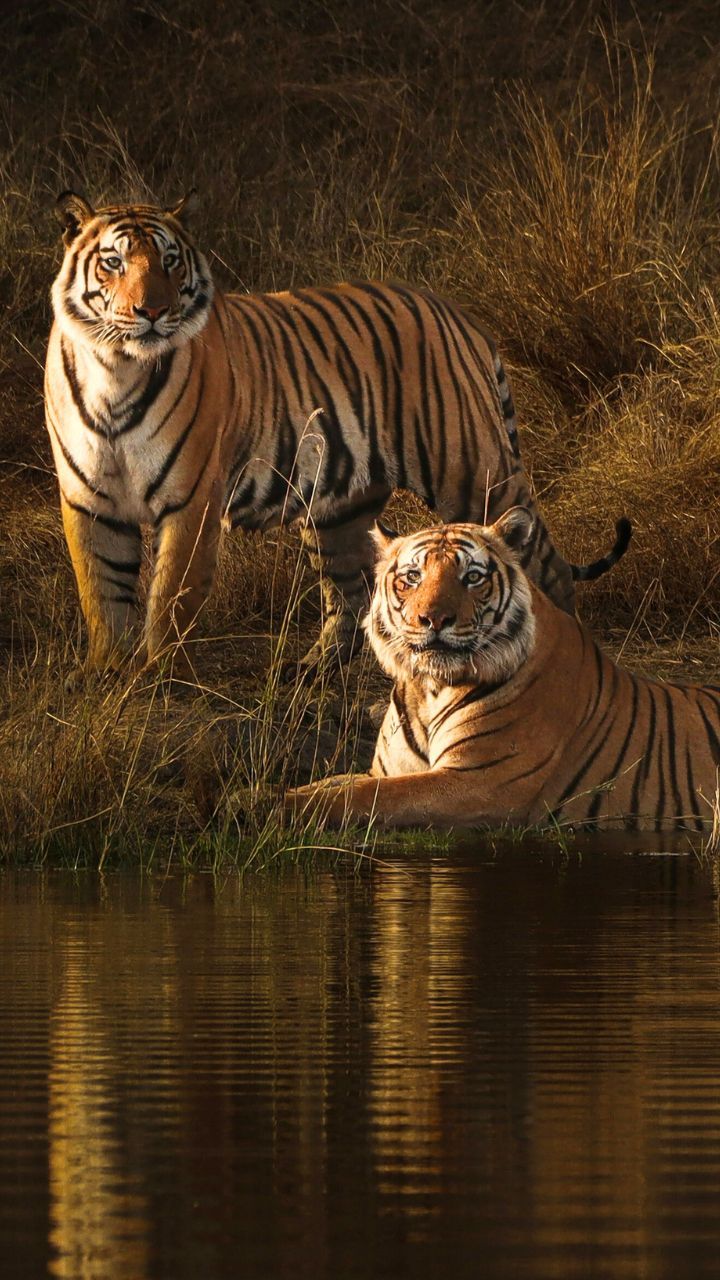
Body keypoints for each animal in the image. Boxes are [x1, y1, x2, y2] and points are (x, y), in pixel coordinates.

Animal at [46, 190, 629, 678]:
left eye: (170, 261)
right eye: (114, 262)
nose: (151, 311)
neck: (116, 370)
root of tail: (459, 315)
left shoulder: (190, 500)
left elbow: (170, 595)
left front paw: (158, 674)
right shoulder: (89, 499)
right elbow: (101, 590)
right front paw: (106, 673)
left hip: (475, 473)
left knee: (544, 568)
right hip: (337, 507)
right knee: (352, 592)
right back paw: (313, 669)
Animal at [284, 511, 720, 832]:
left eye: (472, 577)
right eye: (412, 577)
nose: (433, 619)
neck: (429, 689)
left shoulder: (478, 782)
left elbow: (363, 798)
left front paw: (273, 807)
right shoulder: (386, 770)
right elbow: (334, 783)